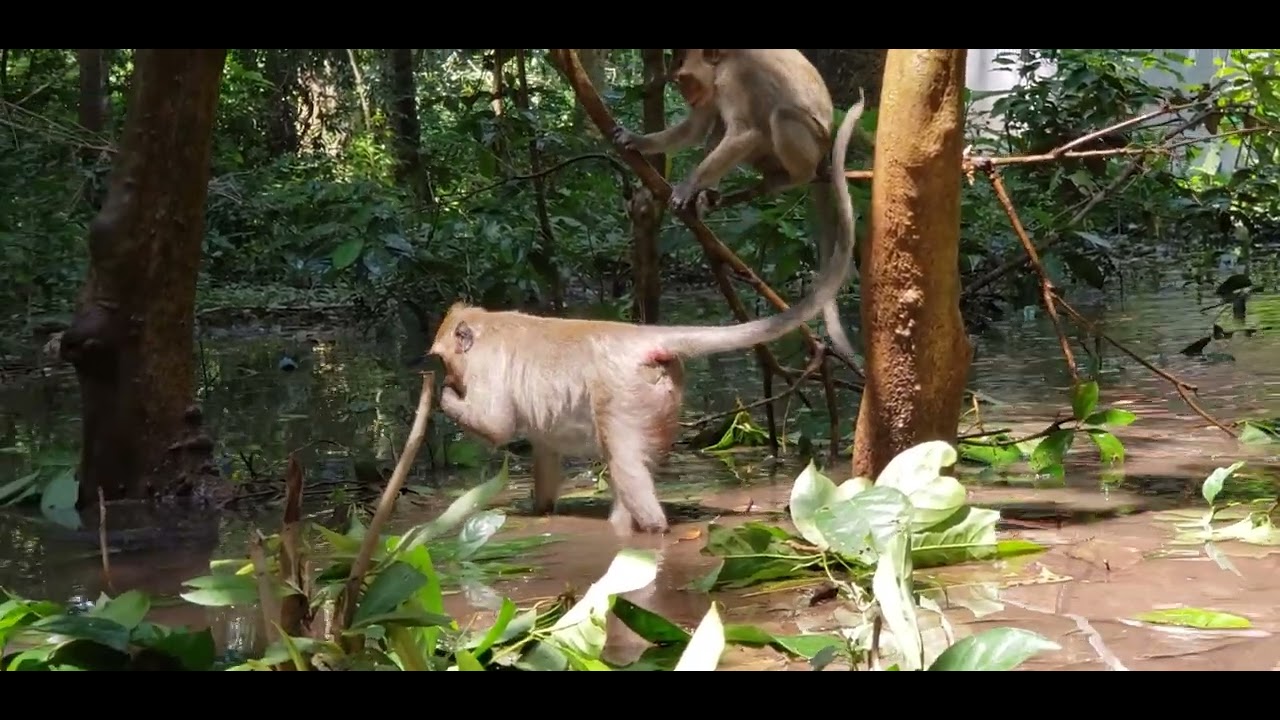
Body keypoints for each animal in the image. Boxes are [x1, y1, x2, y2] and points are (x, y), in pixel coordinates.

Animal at [429, 98, 864, 538]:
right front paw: (540, 509)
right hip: (660, 398)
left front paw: (443, 397)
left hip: (624, 396)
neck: (486, 326)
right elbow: (544, 448)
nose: (448, 378)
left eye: (443, 359)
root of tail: (641, 338)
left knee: (623, 461)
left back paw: (651, 528)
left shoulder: (486, 367)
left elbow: (497, 424)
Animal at [610, 49, 861, 367]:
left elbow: (746, 132)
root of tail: (825, 159)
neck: (722, 62)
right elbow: (695, 129)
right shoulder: (713, 90)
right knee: (723, 126)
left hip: (811, 144)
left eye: (684, 78)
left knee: (777, 117)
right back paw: (710, 197)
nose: (689, 97)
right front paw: (637, 140)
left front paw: (686, 187)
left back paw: (790, 177)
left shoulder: (736, 79)